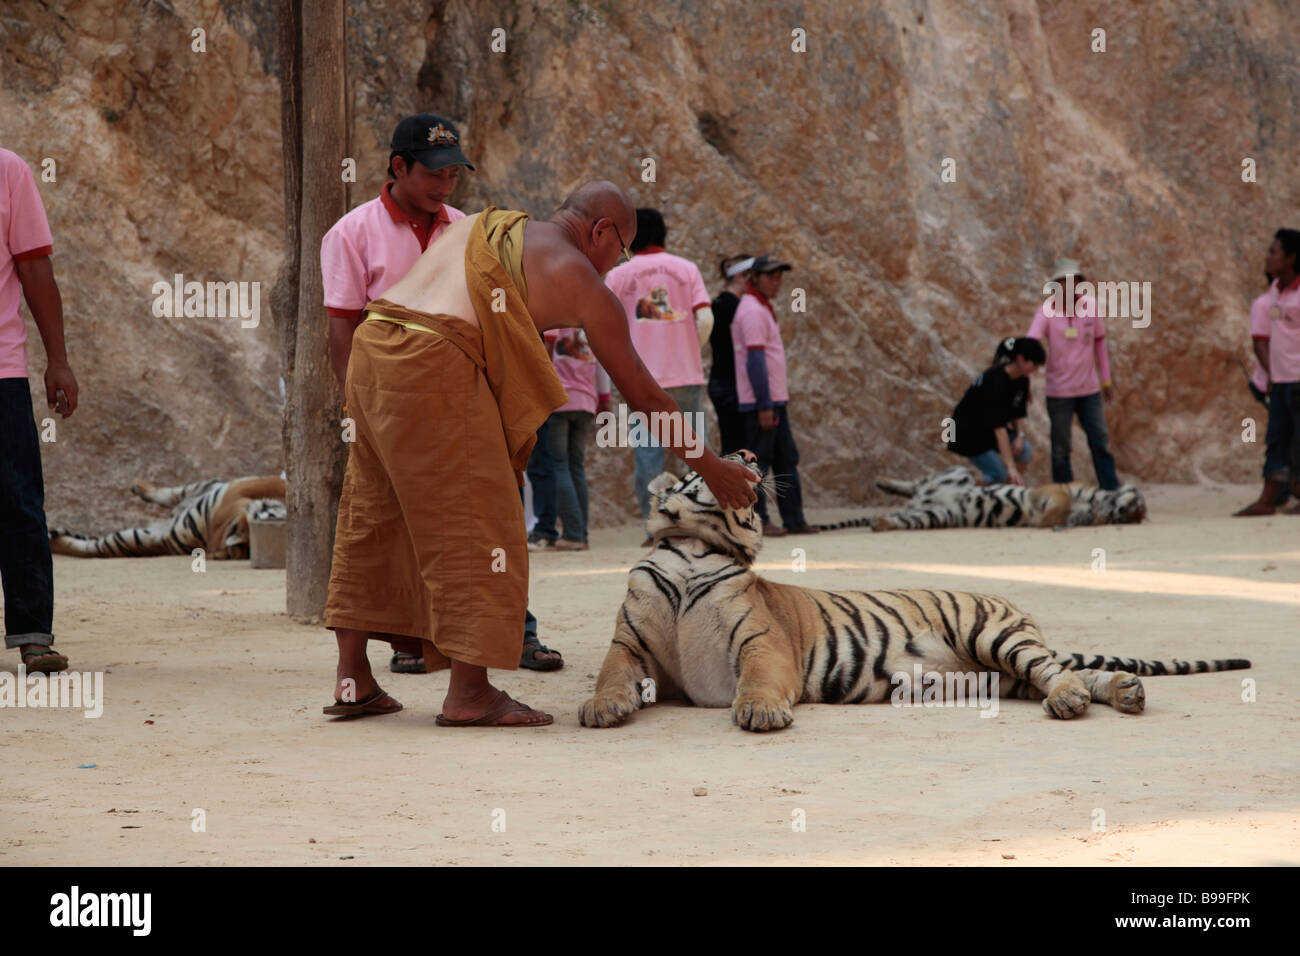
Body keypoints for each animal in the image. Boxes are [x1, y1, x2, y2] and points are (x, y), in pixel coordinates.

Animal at [49, 476, 286, 559]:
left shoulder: (235, 490)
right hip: (201, 486)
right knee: (173, 493)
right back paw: (140, 486)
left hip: (132, 538)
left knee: (91, 547)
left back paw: (55, 541)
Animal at [578, 453, 1247, 732]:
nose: (749, 452)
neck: (694, 550)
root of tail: (1016, 607)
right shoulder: (631, 641)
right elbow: (612, 672)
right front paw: (604, 707)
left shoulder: (762, 641)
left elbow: (760, 677)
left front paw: (761, 712)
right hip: (1000, 673)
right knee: (1072, 672)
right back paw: (1124, 692)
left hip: (994, 636)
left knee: (1059, 672)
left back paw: (1075, 701)